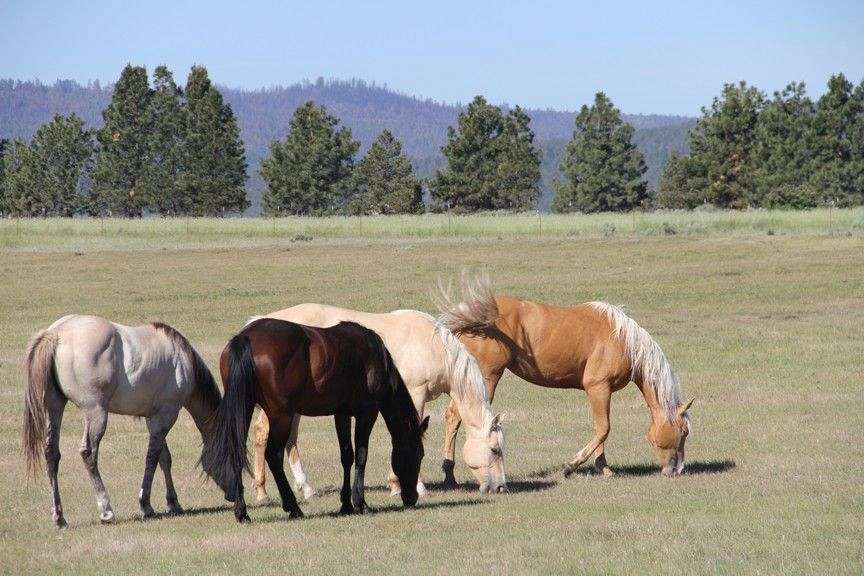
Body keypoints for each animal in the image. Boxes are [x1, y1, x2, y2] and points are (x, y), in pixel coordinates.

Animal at [22, 315, 222, 528]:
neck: (182, 361)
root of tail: (55, 333)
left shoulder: (154, 419)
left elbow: (164, 458)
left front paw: (173, 503)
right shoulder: (165, 417)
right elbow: (152, 459)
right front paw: (146, 505)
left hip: (54, 408)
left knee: (51, 453)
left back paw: (59, 517)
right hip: (96, 413)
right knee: (88, 453)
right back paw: (106, 510)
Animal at [200, 318, 429, 523]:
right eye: (418, 454)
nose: (411, 498)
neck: (372, 356)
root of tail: (246, 337)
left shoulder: (342, 414)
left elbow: (347, 455)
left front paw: (346, 504)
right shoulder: (367, 413)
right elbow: (362, 455)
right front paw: (361, 503)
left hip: (245, 408)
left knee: (237, 450)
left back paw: (242, 512)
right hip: (281, 416)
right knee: (273, 455)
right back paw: (293, 507)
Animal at [250, 304, 507, 502]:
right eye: (494, 449)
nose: (501, 487)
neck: (433, 345)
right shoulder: (415, 395)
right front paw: (410, 486)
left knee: (290, 441)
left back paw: (306, 488)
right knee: (263, 434)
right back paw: (262, 492)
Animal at [435, 273, 694, 481]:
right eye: (684, 432)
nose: (678, 469)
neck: (622, 339)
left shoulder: (600, 392)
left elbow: (599, 428)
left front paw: (604, 468)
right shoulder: (598, 387)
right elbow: (603, 428)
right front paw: (571, 466)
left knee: (452, 417)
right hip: (486, 378)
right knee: (459, 417)